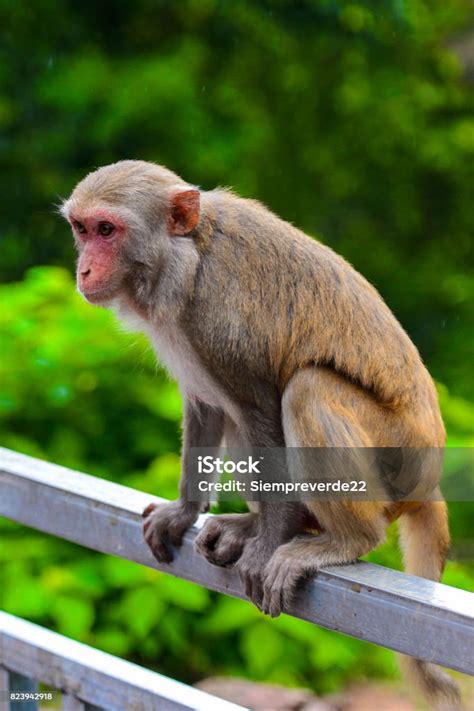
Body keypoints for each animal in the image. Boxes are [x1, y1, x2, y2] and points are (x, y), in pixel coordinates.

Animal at [61, 160, 460, 708]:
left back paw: (338, 538)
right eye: (81, 229)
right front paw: (184, 511)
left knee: (307, 389)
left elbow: (262, 408)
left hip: (392, 459)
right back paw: (261, 525)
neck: (187, 256)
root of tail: (426, 482)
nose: (83, 270)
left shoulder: (218, 315)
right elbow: (206, 406)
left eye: (107, 230)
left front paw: (269, 542)